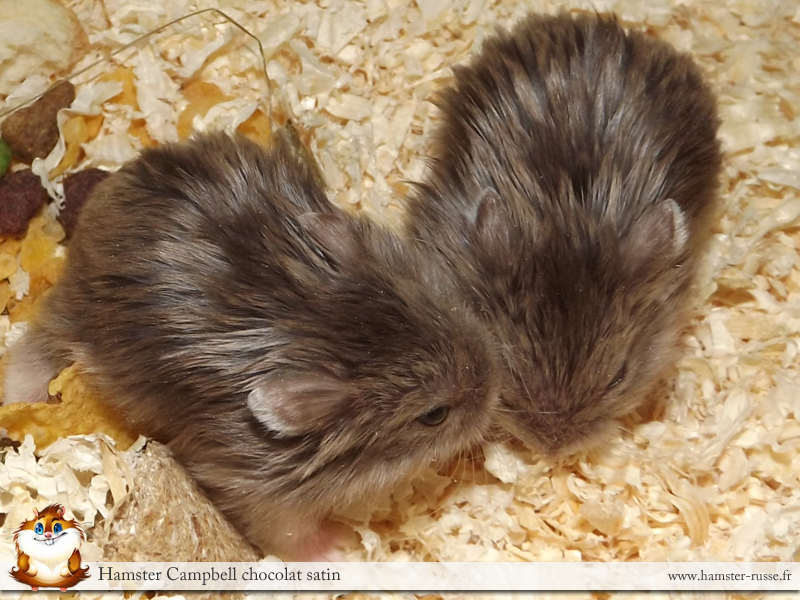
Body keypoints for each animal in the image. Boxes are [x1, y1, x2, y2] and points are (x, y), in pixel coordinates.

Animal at [4, 132, 500, 558]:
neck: (314, 326)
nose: (494, 393)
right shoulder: (256, 491)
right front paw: (340, 548)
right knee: (40, 347)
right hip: (76, 324)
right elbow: (289, 534)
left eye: (447, 310)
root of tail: (94, 222)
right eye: (435, 415)